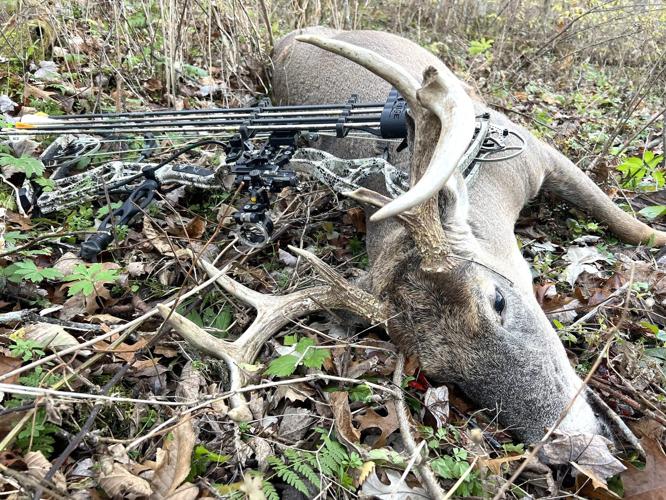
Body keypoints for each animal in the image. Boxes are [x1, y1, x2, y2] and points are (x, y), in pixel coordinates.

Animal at [157, 27, 666, 449]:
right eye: (446, 375)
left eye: (497, 300)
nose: (569, 445)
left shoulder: (535, 151)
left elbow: (623, 219)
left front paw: (657, 234)